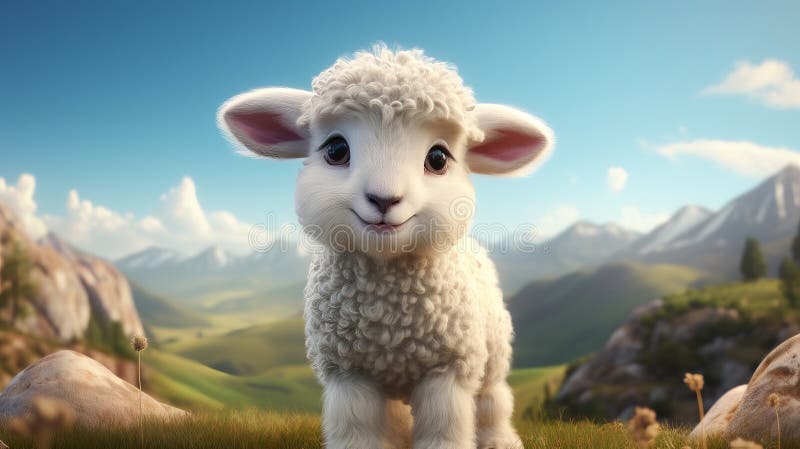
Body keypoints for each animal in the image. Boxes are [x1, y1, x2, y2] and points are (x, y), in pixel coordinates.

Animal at [218, 46, 553, 449]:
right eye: (336, 149)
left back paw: (499, 439)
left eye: (438, 158)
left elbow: (444, 429)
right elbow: (356, 430)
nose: (384, 198)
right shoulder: (349, 373)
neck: (389, 317)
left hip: (492, 348)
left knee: (492, 398)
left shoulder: (448, 369)